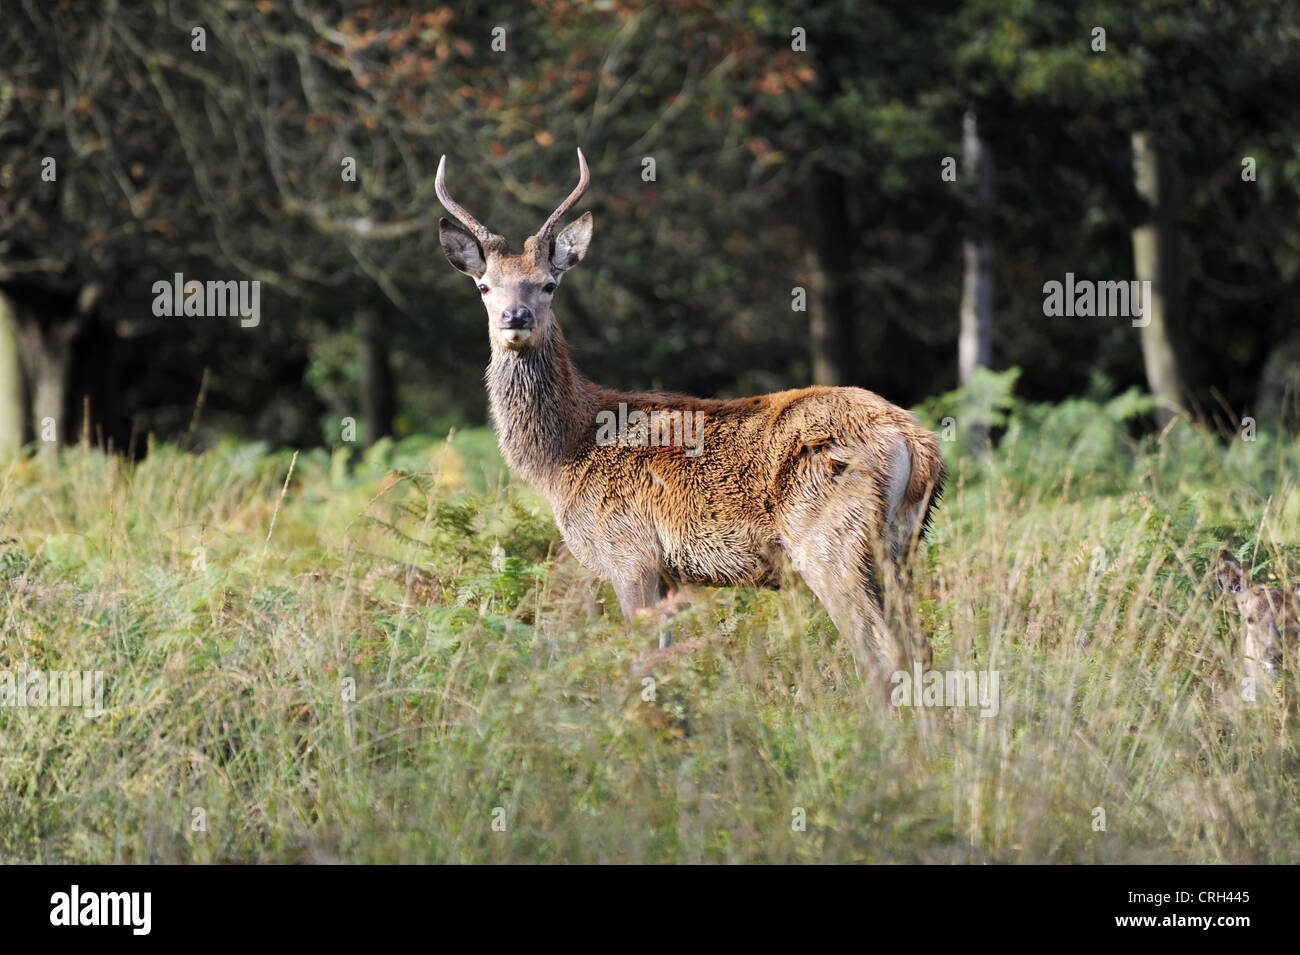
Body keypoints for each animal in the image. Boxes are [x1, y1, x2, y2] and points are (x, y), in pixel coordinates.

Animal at [435, 148, 945, 689]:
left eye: (549, 285)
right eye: (484, 286)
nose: (515, 317)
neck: (563, 457)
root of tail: (916, 443)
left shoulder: (629, 553)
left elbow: (641, 661)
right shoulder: (665, 573)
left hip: (831, 540)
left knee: (880, 651)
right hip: (903, 545)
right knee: (920, 647)